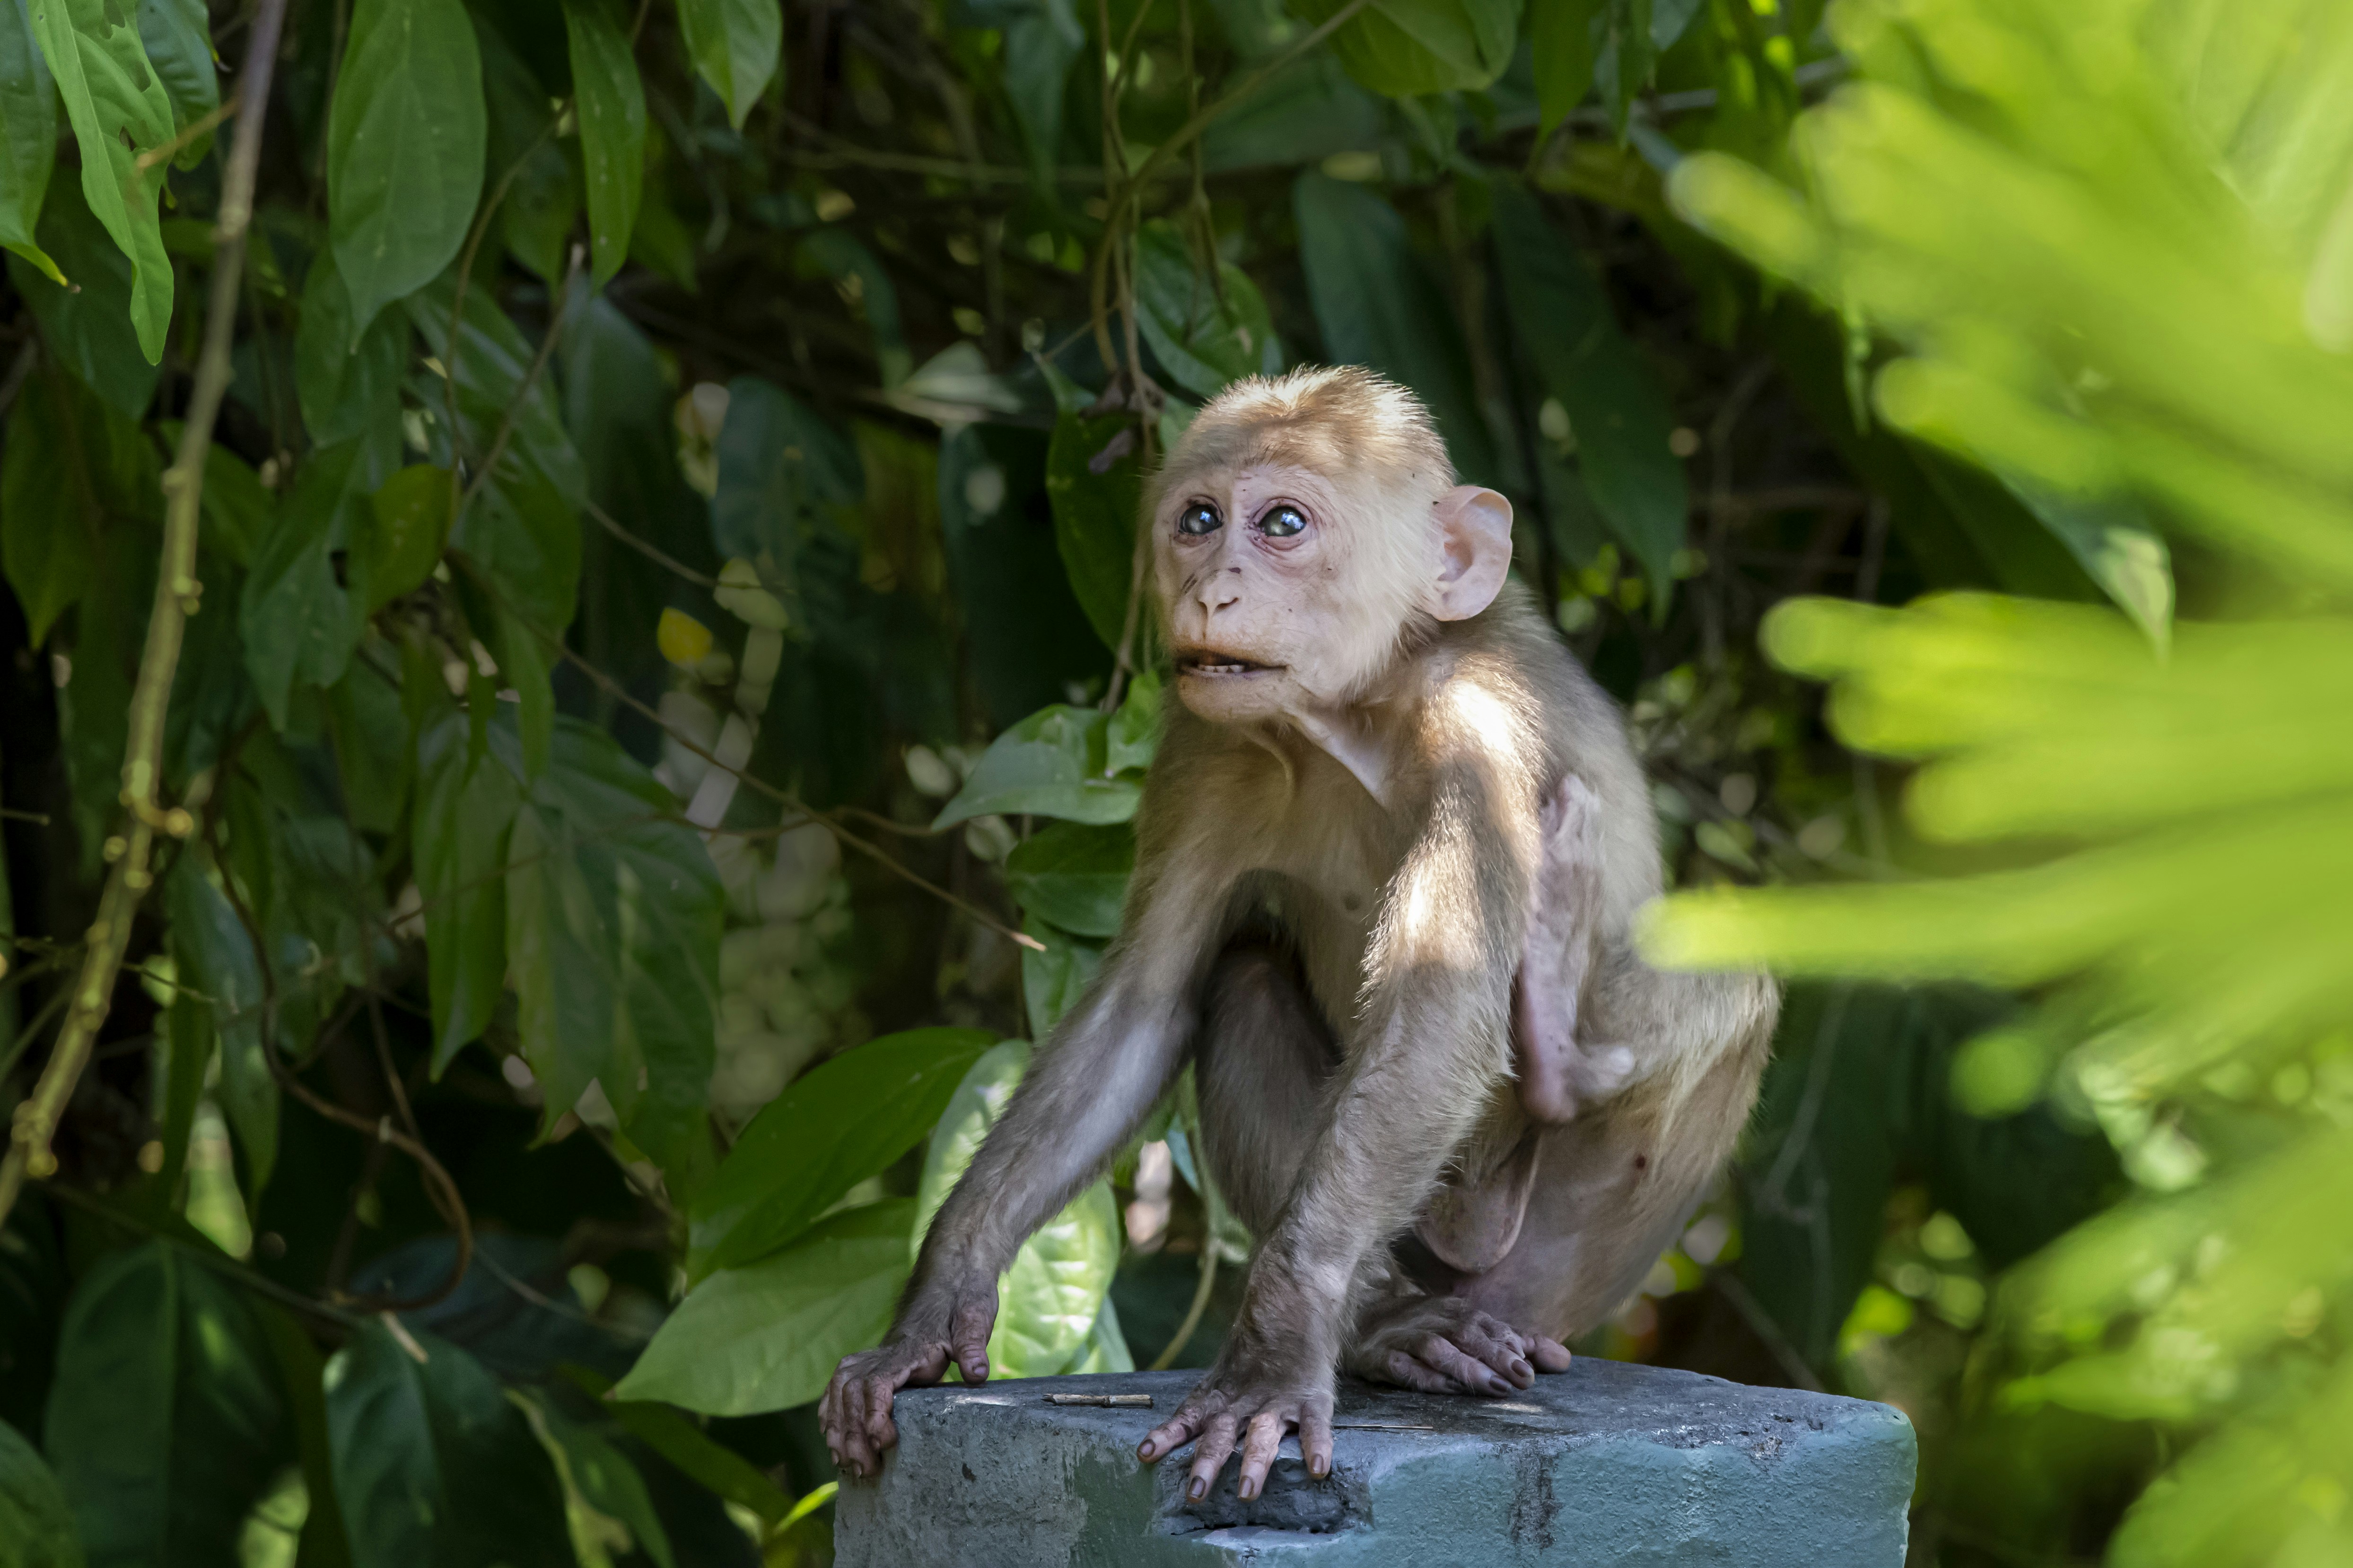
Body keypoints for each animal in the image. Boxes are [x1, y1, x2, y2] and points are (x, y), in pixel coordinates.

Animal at [821, 365, 1778, 1506]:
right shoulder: (1202, 748)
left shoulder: (1485, 736)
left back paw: (1562, 1059)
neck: (1358, 715)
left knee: (1731, 990)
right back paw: (1391, 1327)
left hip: (1550, 1271)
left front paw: (1276, 1348)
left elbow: (1438, 1010)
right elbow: (1147, 1001)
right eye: (1199, 520)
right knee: (1243, 985)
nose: (1211, 589)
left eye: (1283, 524)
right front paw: (939, 1294)